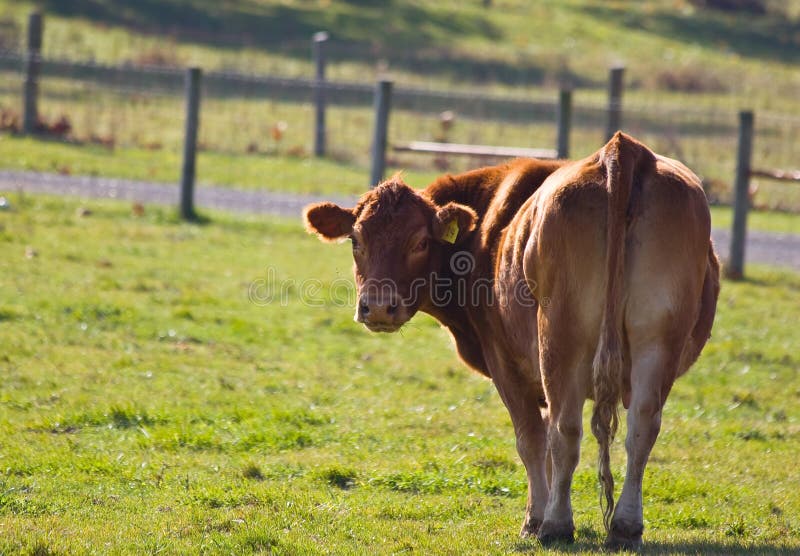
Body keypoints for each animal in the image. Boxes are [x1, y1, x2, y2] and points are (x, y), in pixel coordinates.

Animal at [303, 132, 720, 550]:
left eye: (420, 242)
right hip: (657, 340)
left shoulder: (504, 362)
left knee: (565, 431)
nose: (377, 307)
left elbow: (532, 440)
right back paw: (624, 527)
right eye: (356, 240)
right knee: (641, 429)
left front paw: (534, 519)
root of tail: (621, 150)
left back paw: (555, 524)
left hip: (561, 340)